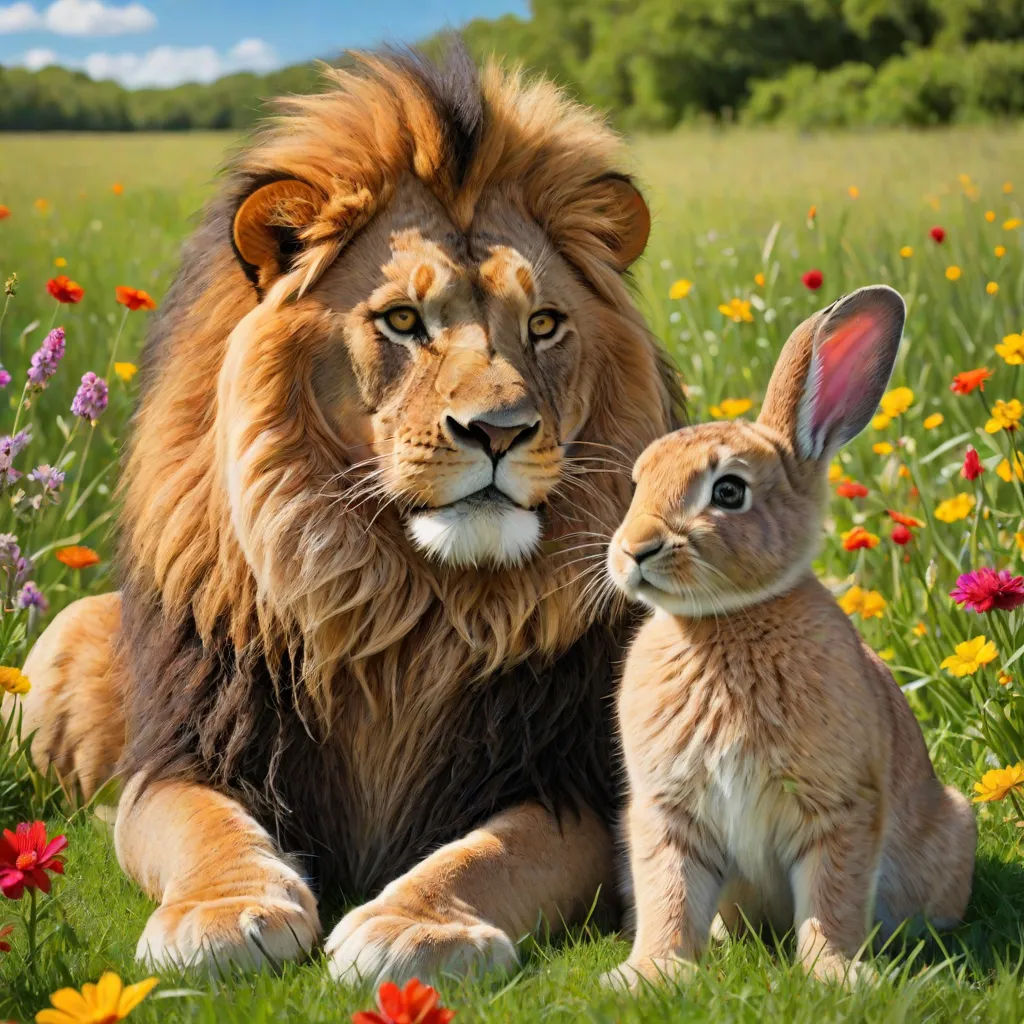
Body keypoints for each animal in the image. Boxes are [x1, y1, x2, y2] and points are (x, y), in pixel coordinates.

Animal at [17, 46, 681, 982]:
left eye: (545, 324)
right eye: (403, 319)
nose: (501, 432)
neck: (405, 606)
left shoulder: (570, 785)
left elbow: (490, 854)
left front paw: (415, 925)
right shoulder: (185, 754)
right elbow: (204, 828)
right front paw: (225, 913)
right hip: (61, 635)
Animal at [602, 285, 975, 988]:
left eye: (729, 491)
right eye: (637, 485)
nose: (636, 549)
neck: (723, 622)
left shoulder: (840, 811)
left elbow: (831, 901)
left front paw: (837, 976)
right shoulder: (668, 815)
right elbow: (670, 897)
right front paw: (653, 974)